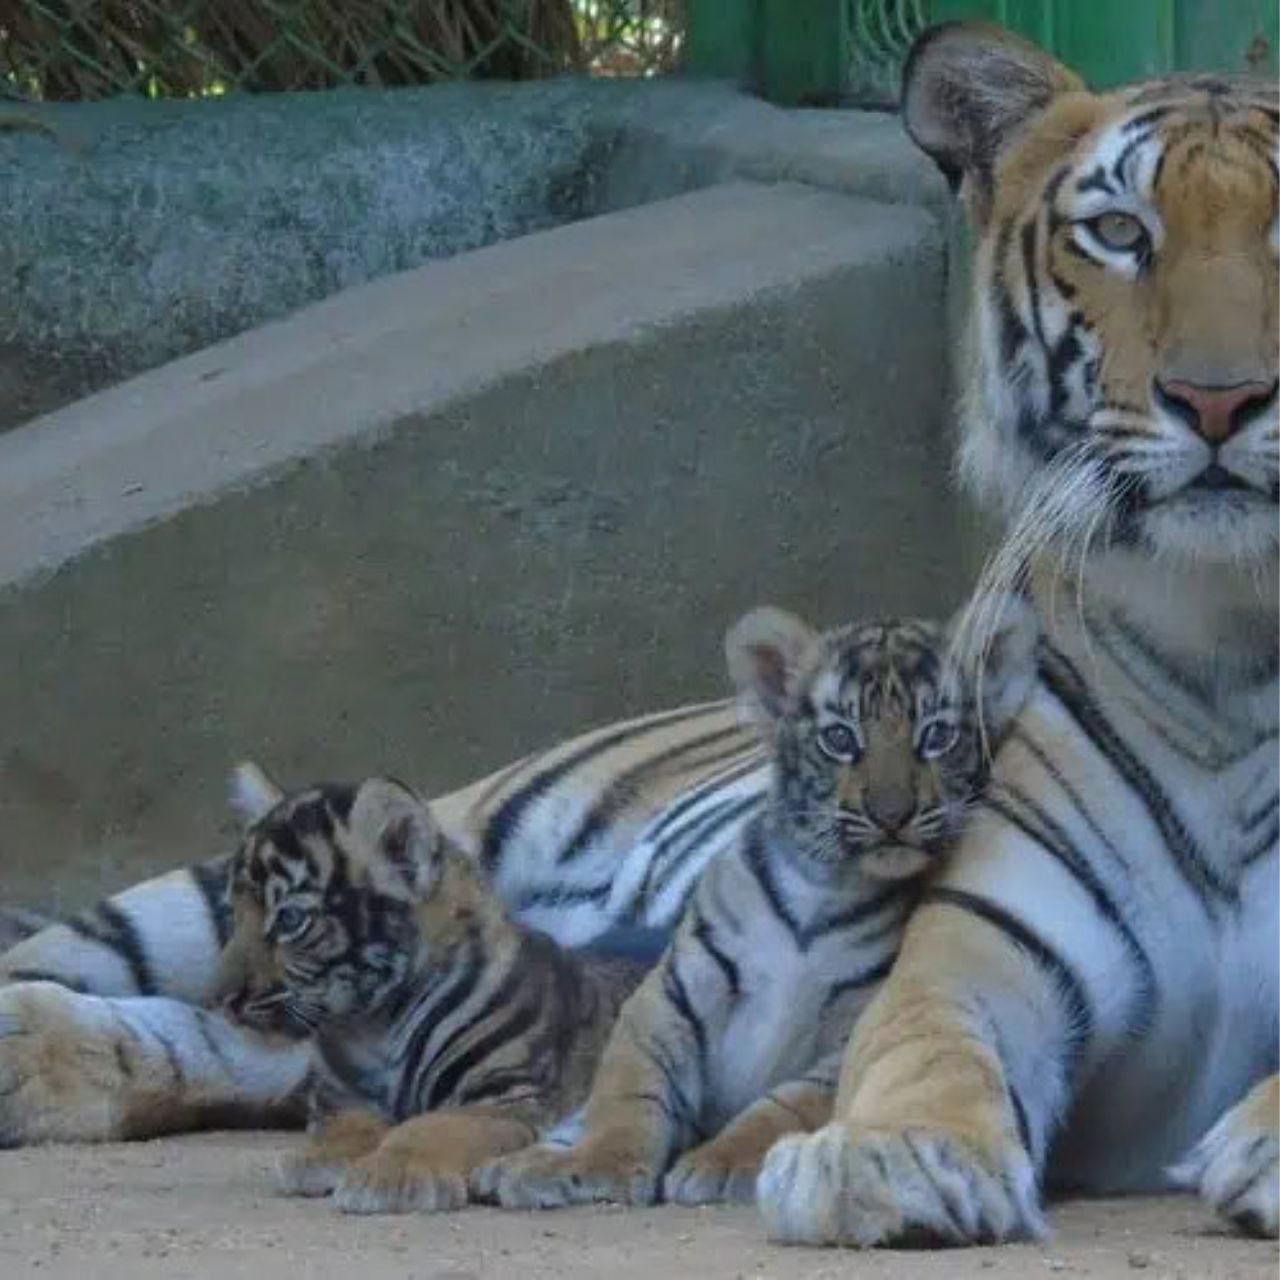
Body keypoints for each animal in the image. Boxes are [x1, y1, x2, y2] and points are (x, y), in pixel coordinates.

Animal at [214, 762, 647, 1214]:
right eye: (233, 913)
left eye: (290, 919)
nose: (221, 998)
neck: (375, 1025)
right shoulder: (344, 1100)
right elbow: (348, 1125)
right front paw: (318, 1157)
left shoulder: (506, 1097)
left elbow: (430, 1126)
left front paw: (390, 1174)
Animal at [475, 600, 1037, 1210]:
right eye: (840, 738)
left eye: (936, 735)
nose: (892, 814)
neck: (825, 889)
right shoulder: (670, 997)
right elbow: (629, 1090)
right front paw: (600, 1163)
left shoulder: (849, 1032)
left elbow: (780, 1106)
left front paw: (719, 1162)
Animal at [752, 20, 1279, 1247]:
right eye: (1121, 233)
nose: (1220, 400)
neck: (1233, 635)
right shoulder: (987, 936)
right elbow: (919, 1041)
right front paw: (886, 1158)